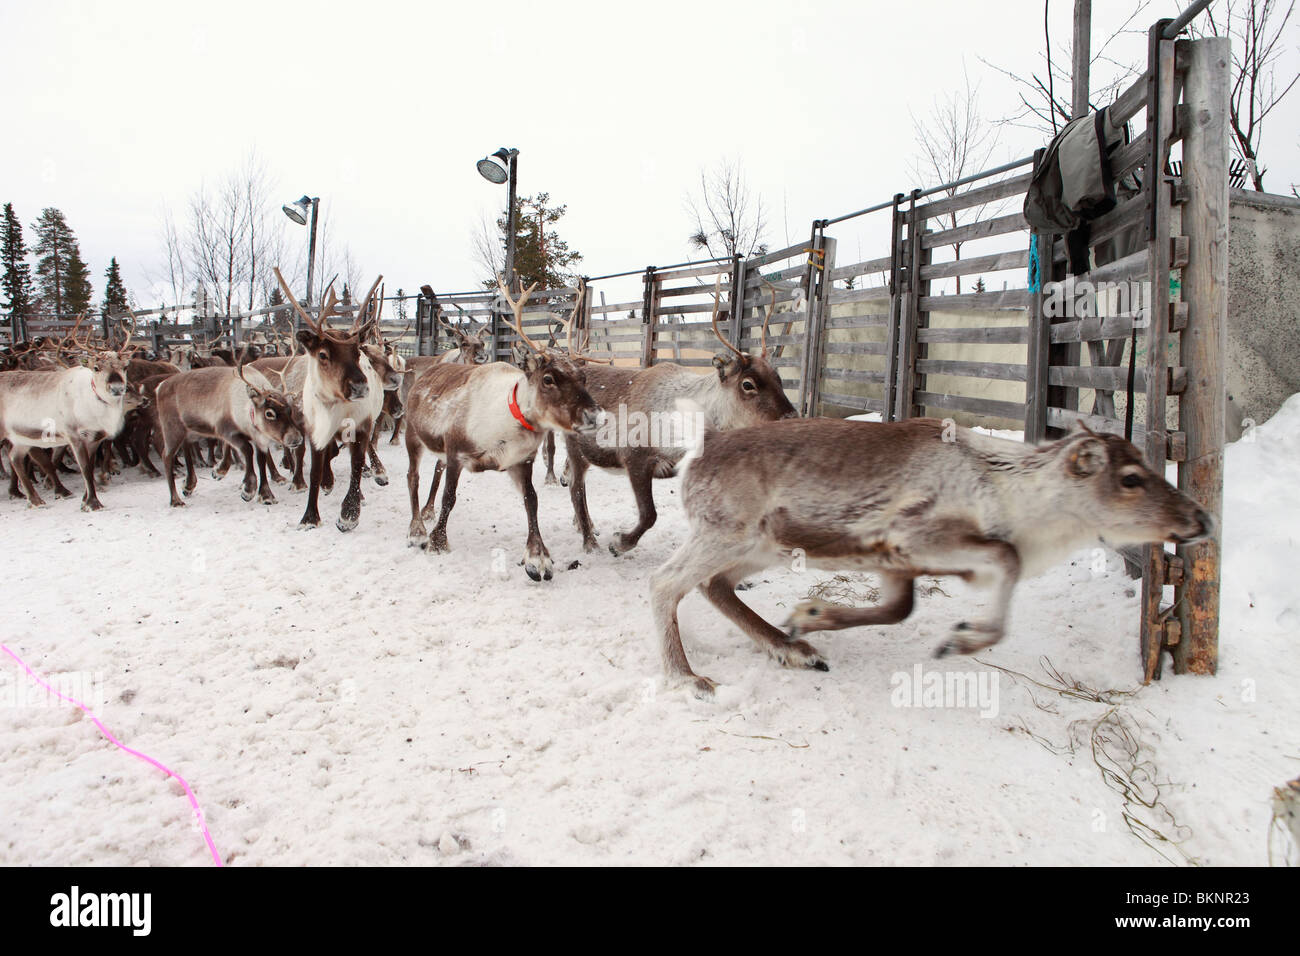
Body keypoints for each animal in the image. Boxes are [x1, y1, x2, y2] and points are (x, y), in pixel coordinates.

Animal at [403, 275, 605, 581]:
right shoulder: (455, 450)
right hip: (412, 435)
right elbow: (450, 497)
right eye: (548, 378)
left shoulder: (521, 460)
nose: (595, 416)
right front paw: (437, 541)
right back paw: (417, 529)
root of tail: (428, 370)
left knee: (433, 474)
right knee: (413, 477)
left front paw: (537, 557)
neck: (505, 423)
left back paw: (426, 513)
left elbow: (531, 500)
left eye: (582, 376)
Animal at [563, 276, 797, 556]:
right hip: (575, 447)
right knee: (576, 487)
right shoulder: (634, 456)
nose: (791, 417)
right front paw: (619, 542)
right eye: (748, 384)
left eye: (778, 378)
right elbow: (649, 515)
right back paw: (589, 541)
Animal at [650, 417, 1215, 697]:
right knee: (665, 583)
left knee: (714, 585)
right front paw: (964, 639)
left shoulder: (894, 561)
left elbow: (900, 609)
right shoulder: (916, 533)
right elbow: (1007, 558)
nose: (1202, 519)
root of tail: (691, 461)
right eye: (1130, 478)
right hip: (726, 532)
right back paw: (688, 678)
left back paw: (793, 649)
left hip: (763, 546)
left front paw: (810, 615)